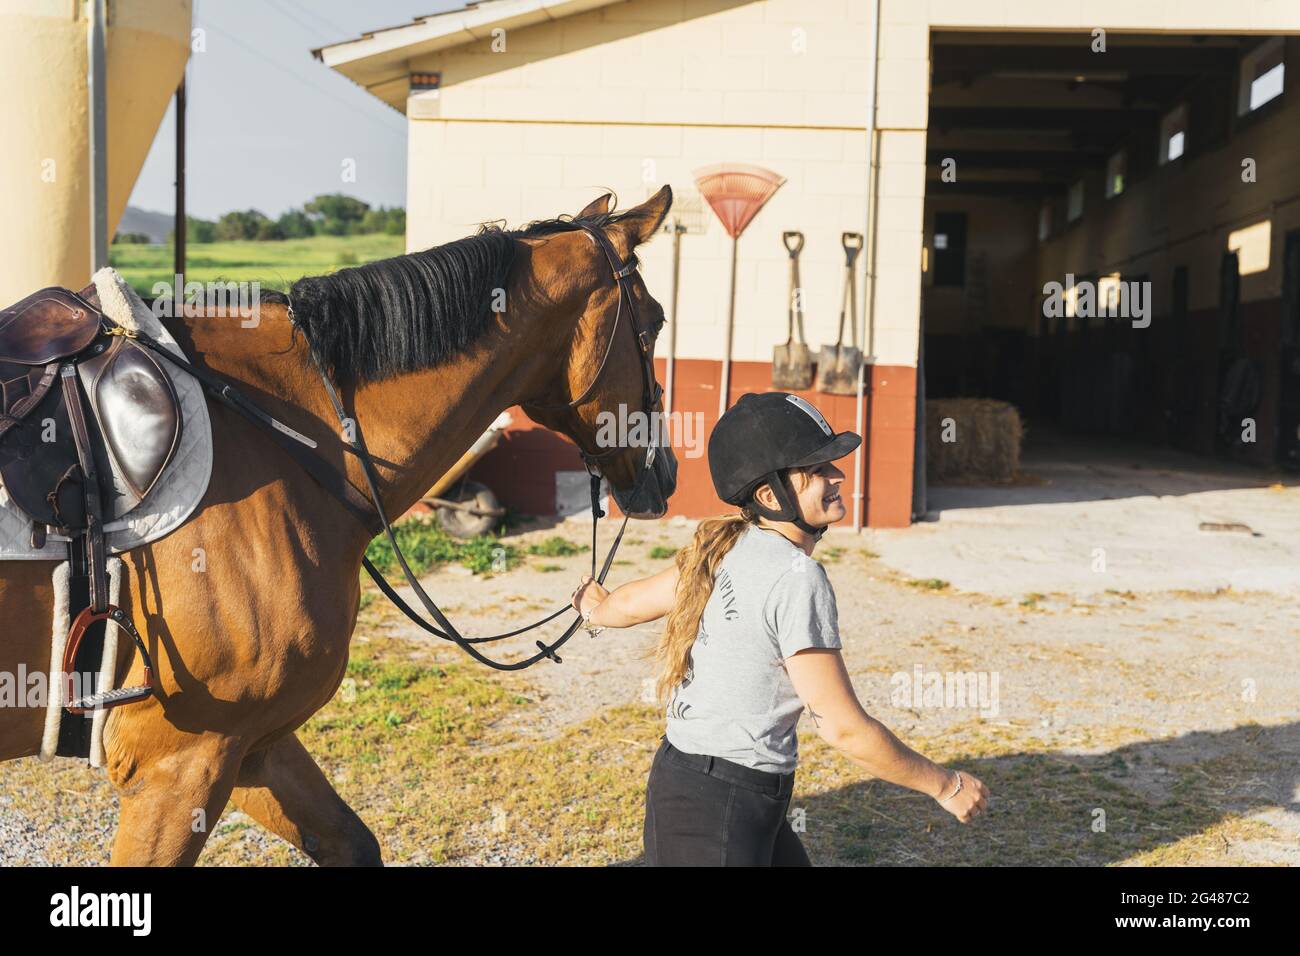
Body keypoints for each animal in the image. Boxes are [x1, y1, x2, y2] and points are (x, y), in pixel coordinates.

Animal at [0, 186, 677, 865]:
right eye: (655, 322)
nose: (666, 472)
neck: (275, 437)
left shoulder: (253, 746)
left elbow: (351, 841)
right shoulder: (179, 764)